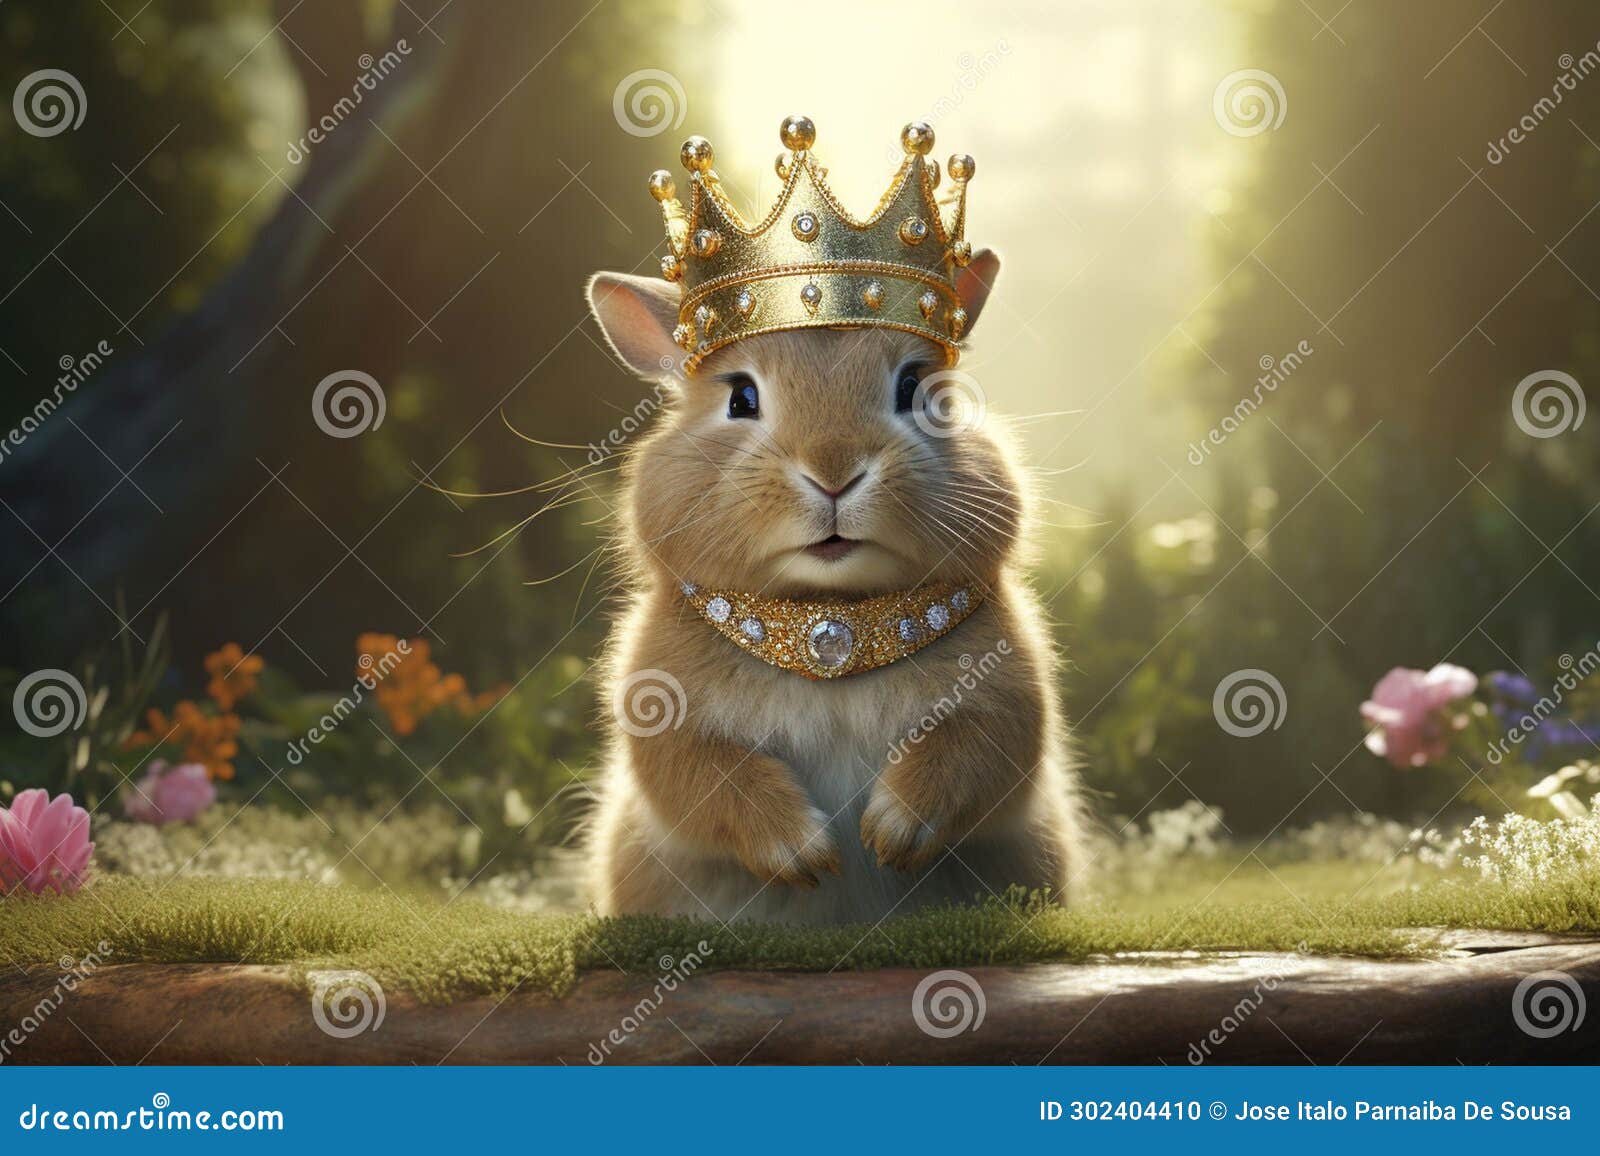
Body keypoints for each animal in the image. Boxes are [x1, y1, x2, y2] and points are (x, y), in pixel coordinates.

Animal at [582, 248, 1082, 925]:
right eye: (741, 398)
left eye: (914, 388)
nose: (835, 472)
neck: (833, 620)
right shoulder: (668, 725)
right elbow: (709, 780)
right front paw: (805, 851)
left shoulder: (1005, 704)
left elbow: (966, 754)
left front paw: (890, 833)